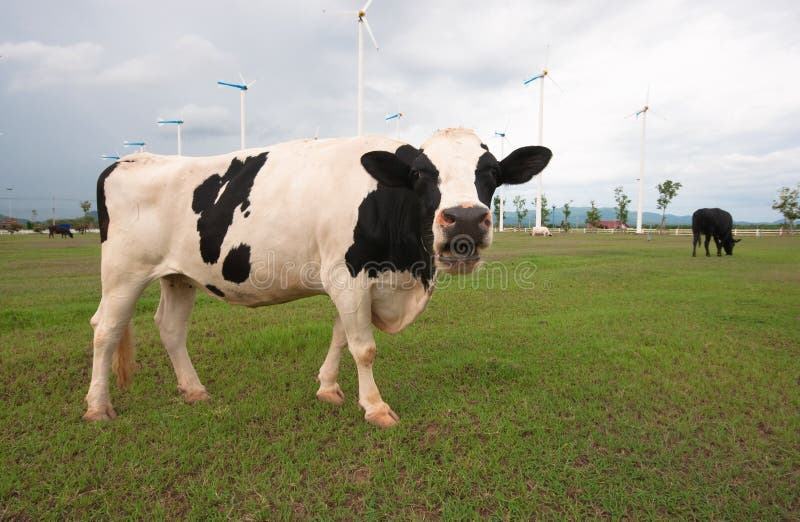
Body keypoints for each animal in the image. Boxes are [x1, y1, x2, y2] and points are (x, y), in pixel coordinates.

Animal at [83, 129, 552, 427]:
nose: (466, 221)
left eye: (492, 173)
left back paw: (194, 390)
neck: (408, 271)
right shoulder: (346, 274)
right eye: (421, 173)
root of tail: (126, 161)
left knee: (170, 328)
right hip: (123, 271)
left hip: (179, 275)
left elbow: (341, 336)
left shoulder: (354, 282)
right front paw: (375, 407)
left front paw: (328, 388)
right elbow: (363, 347)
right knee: (106, 329)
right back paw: (98, 406)